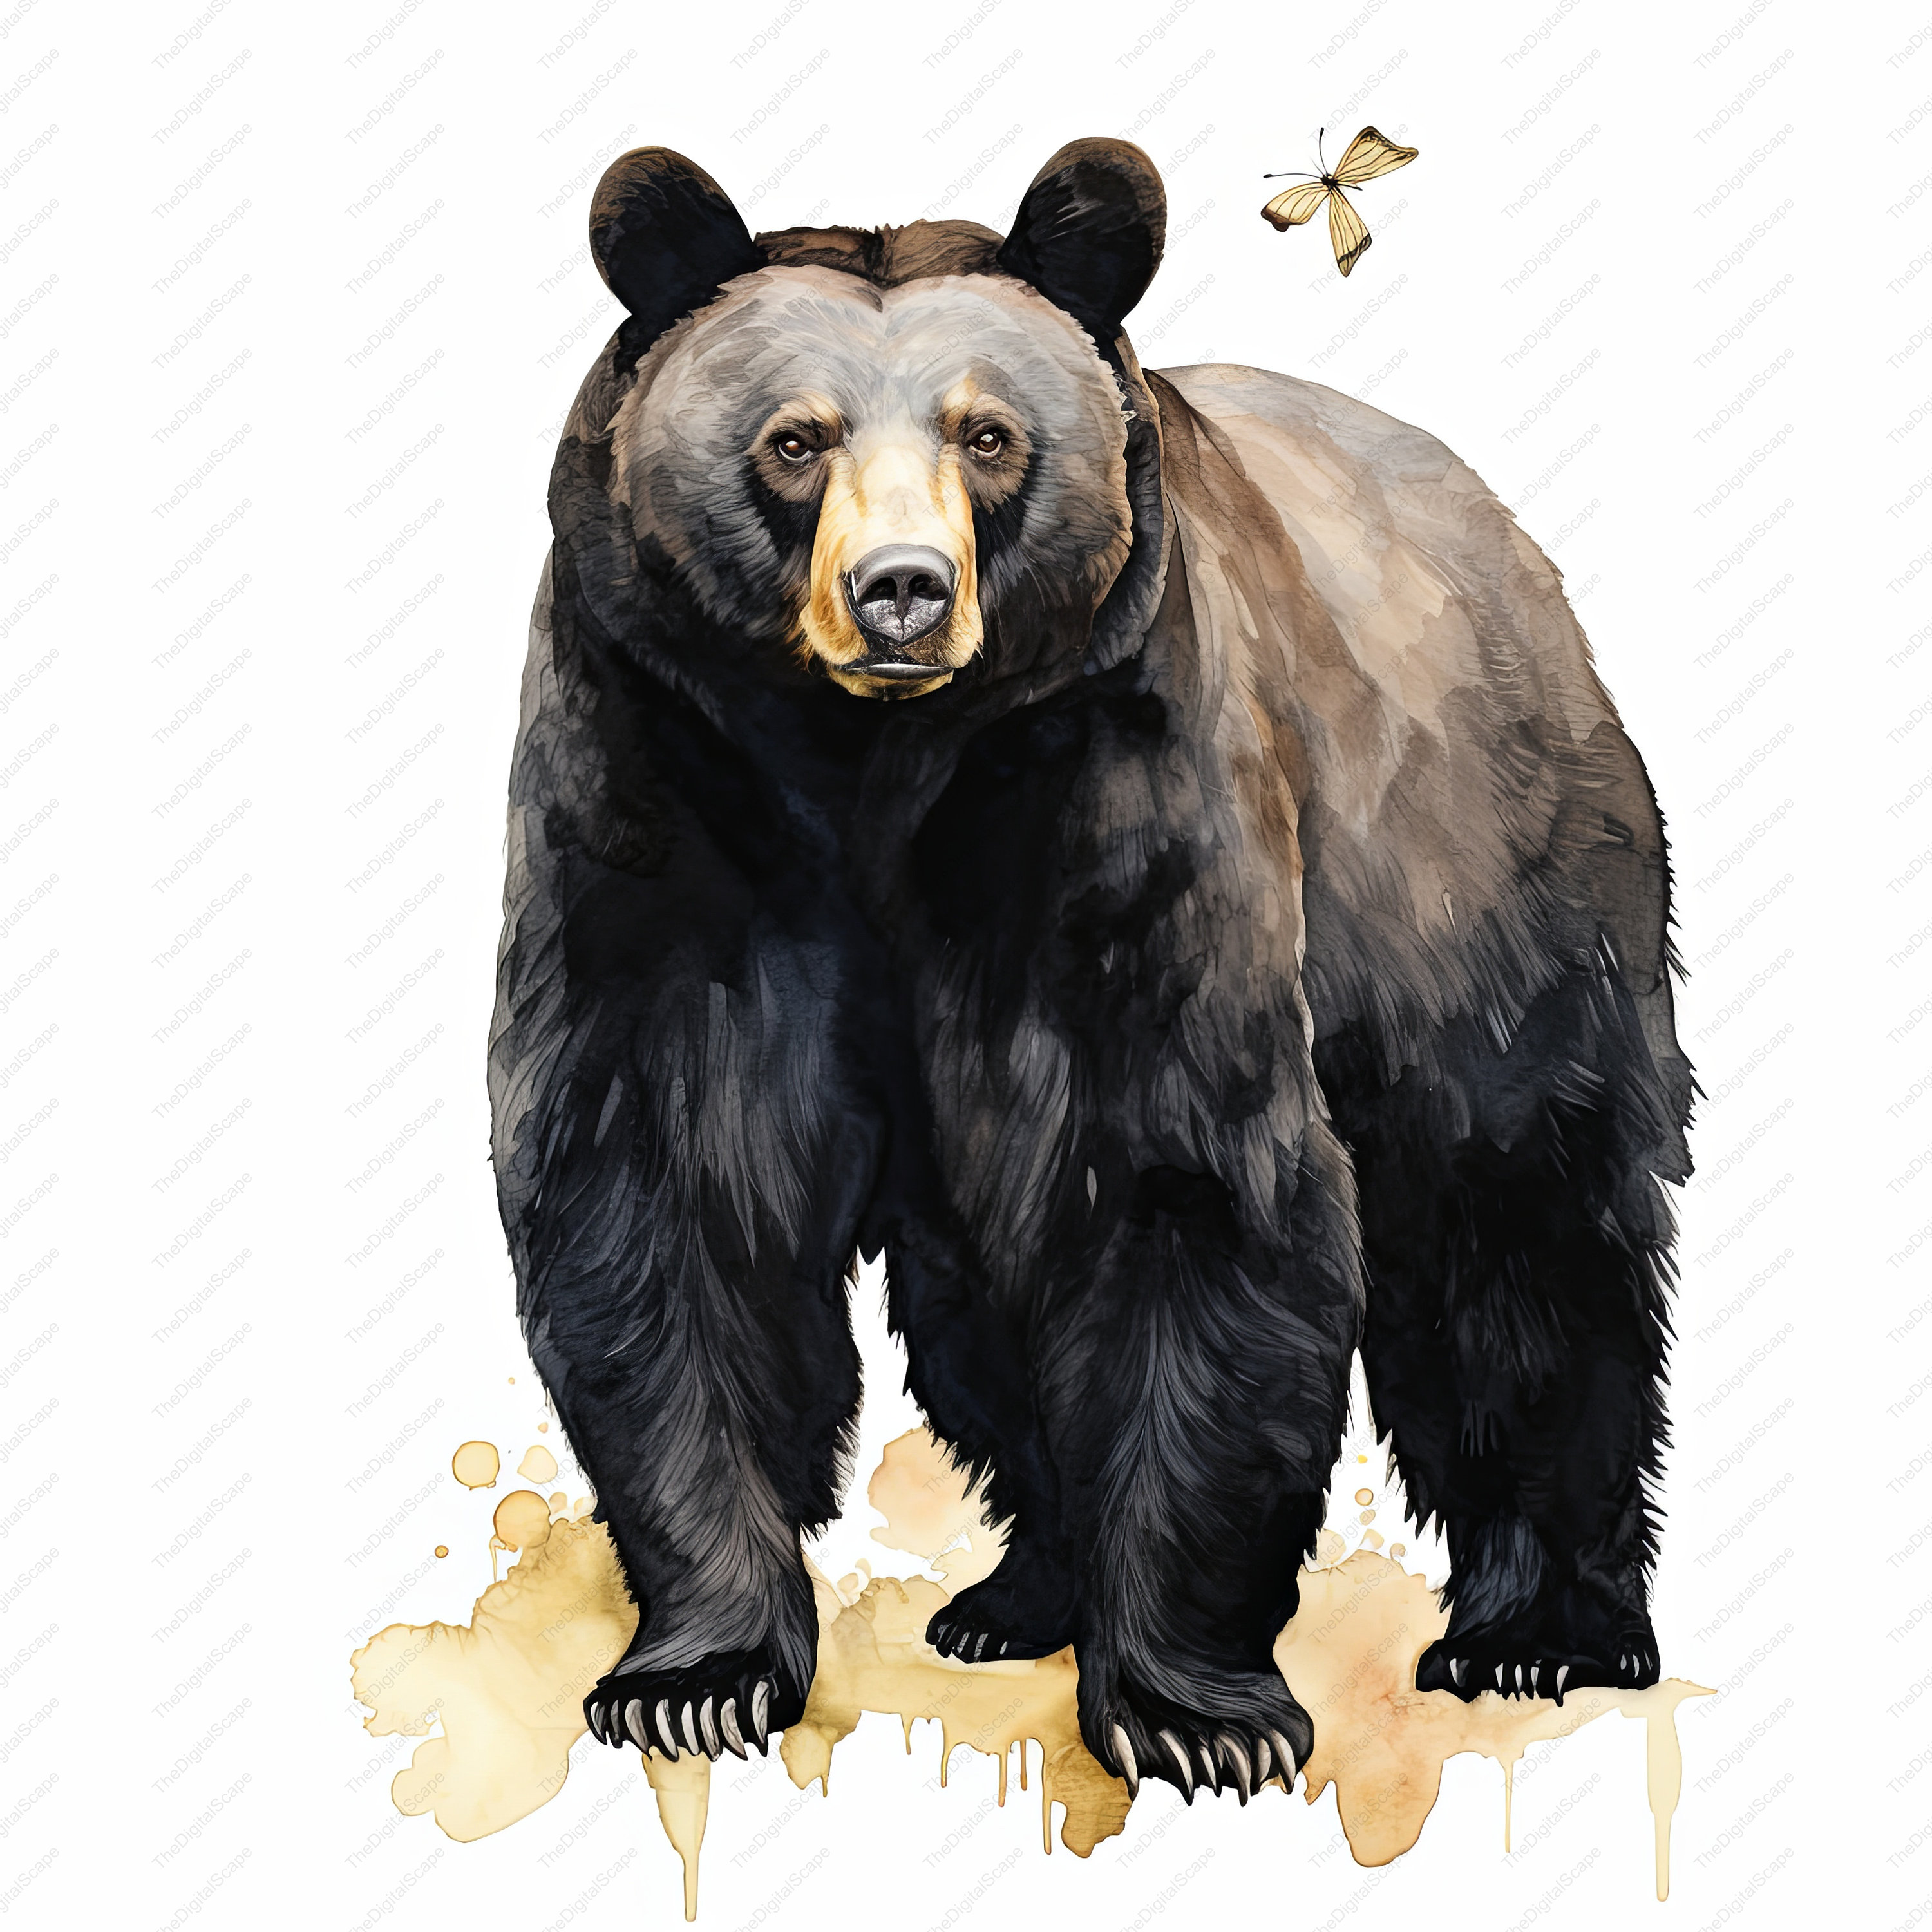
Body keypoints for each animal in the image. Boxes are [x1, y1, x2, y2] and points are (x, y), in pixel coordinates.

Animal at [488, 137, 1693, 1801]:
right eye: (793, 439)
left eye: (988, 433)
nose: (904, 591)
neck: (872, 772)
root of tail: (1503, 542)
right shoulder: (652, 773)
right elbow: (668, 1174)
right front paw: (699, 1675)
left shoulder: (1123, 779)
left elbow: (1174, 1172)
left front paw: (1196, 1709)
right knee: (981, 1296)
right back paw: (1021, 1596)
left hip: (1480, 877)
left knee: (1521, 1224)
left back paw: (1536, 1629)